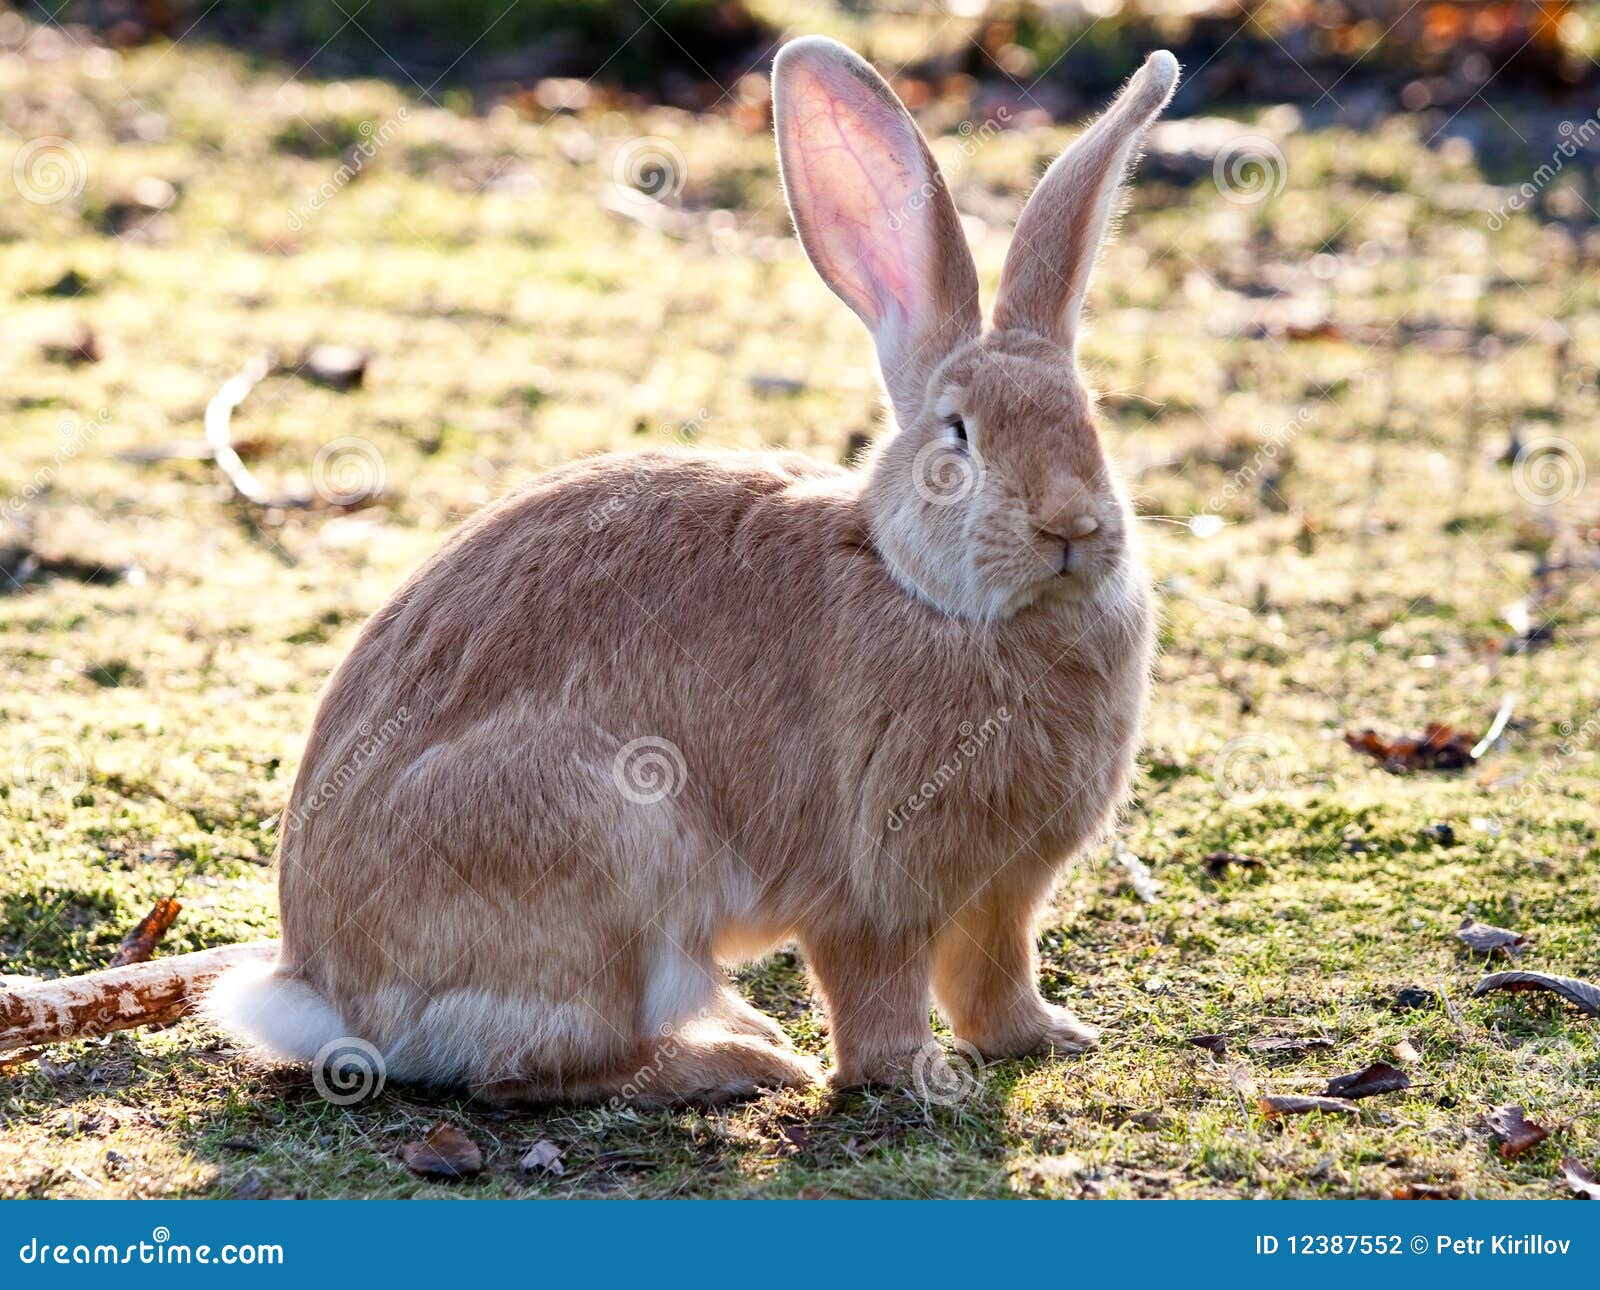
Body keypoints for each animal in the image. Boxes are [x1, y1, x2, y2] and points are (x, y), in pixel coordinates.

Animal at [206, 37, 1179, 1106]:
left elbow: (995, 974)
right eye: (957, 436)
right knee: (539, 1068)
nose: (1071, 526)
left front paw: (1049, 1039)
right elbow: (876, 992)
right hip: (614, 853)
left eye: (1091, 420)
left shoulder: (1005, 889)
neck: (935, 595)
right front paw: (921, 1078)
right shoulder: (868, 886)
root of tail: (323, 989)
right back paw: (729, 1059)